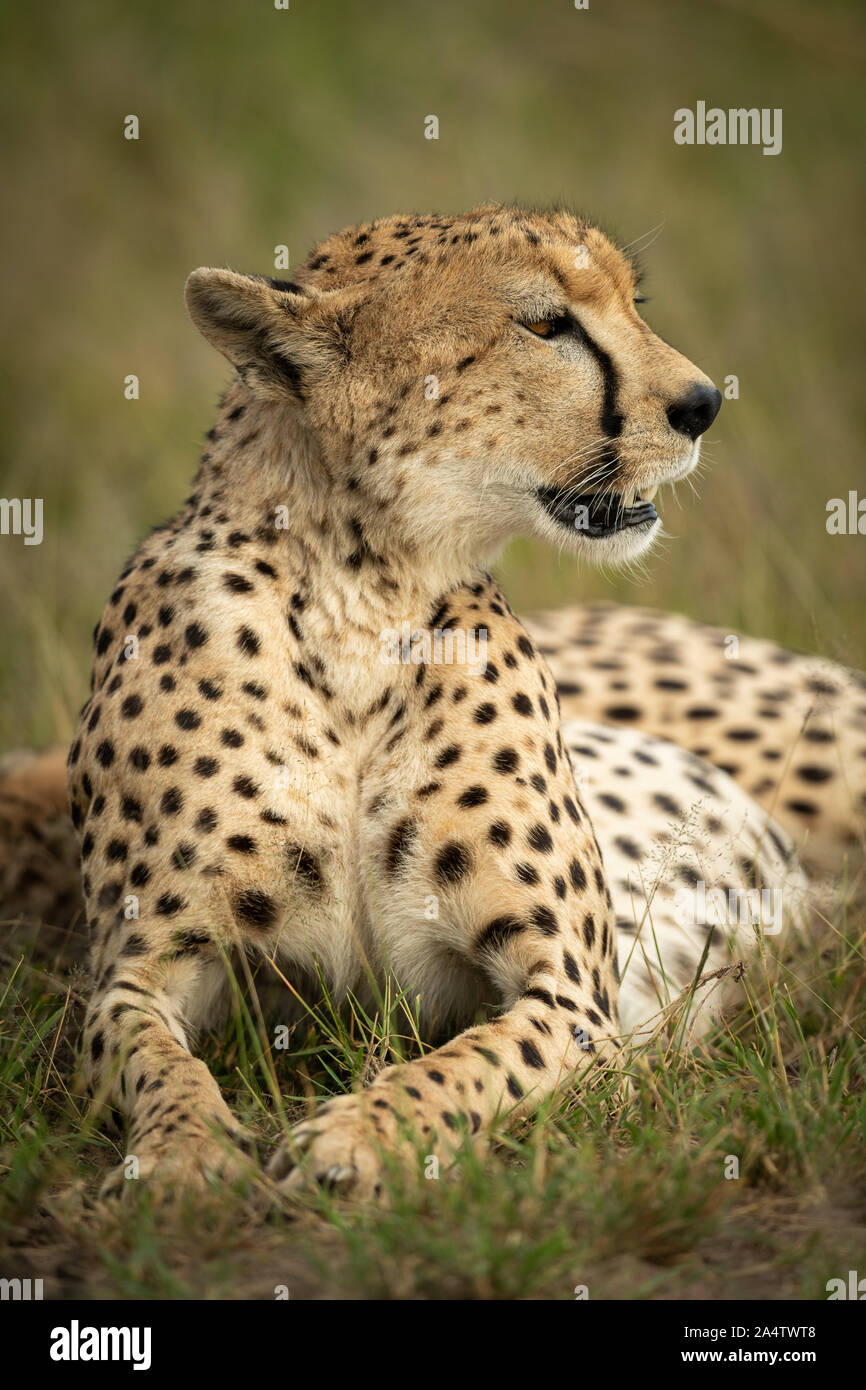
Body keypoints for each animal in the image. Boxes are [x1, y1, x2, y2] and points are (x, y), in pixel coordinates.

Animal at [4, 203, 863, 1201]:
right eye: (546, 324)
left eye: (631, 304)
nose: (701, 405)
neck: (359, 597)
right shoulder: (143, 970)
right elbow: (157, 1062)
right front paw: (183, 1157)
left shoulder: (573, 997)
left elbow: (466, 1063)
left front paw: (358, 1137)